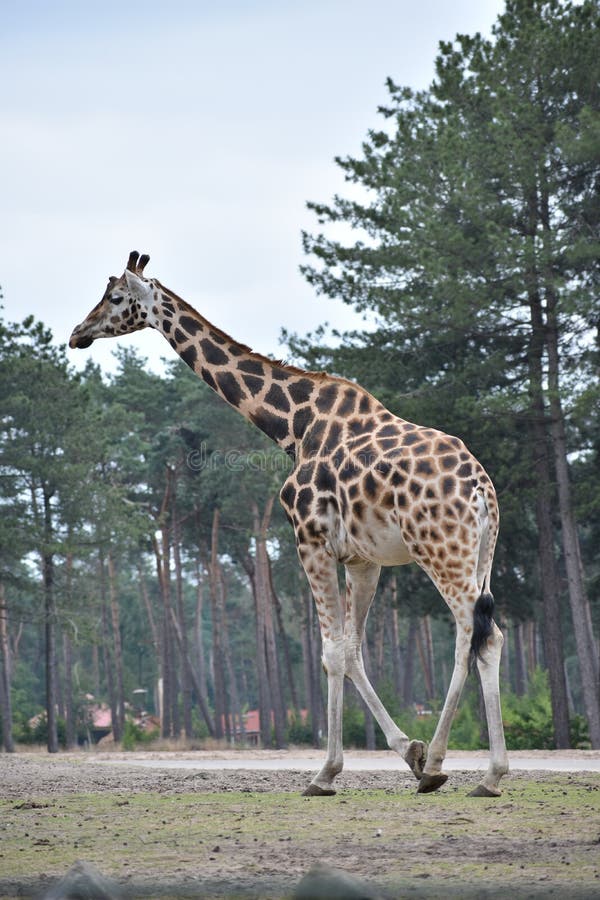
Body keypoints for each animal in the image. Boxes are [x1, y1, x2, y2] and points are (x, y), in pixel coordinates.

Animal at [70, 251, 509, 797]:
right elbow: (353, 650)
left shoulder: (309, 539)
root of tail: (482, 489)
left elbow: (330, 653)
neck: (292, 428)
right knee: (481, 637)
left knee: (474, 632)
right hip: (479, 554)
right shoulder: (361, 559)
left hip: (440, 549)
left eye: (114, 298)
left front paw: (325, 773)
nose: (77, 333)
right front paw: (410, 751)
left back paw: (464, 771)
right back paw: (471, 773)